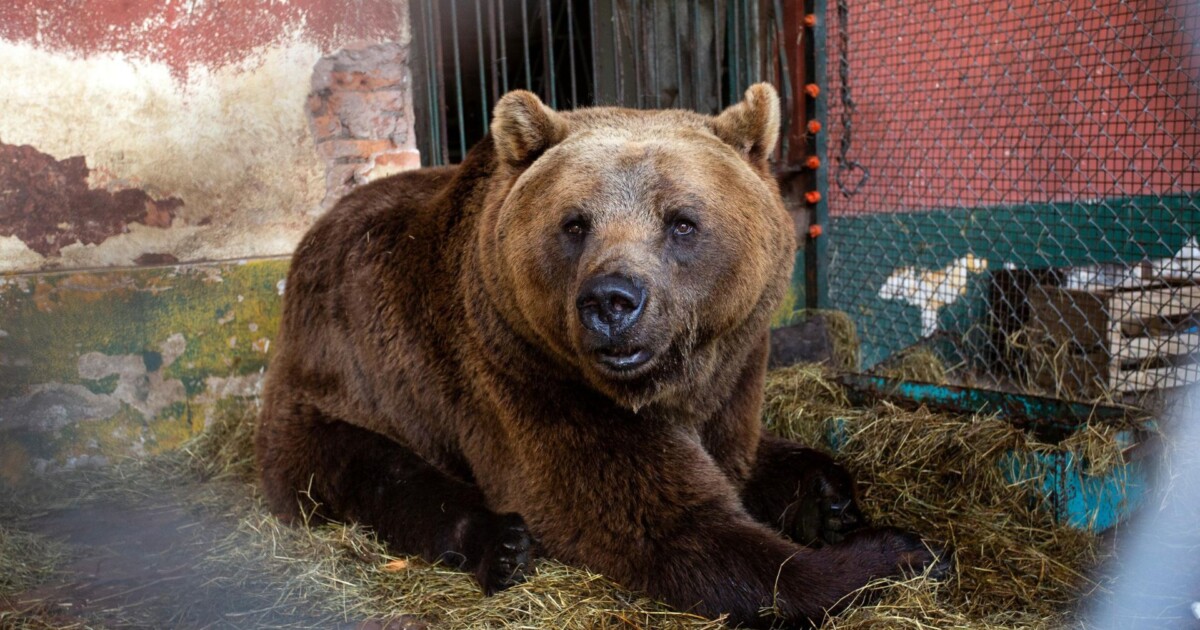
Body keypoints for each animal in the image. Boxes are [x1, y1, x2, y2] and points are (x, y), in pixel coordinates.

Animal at [256, 83, 941, 628]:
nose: (612, 300)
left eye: (682, 222)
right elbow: (659, 523)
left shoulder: (733, 376)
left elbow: (737, 457)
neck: (667, 384)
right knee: (376, 474)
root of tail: (311, 237)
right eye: (575, 223)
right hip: (345, 385)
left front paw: (829, 502)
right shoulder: (527, 379)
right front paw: (902, 552)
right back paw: (501, 545)